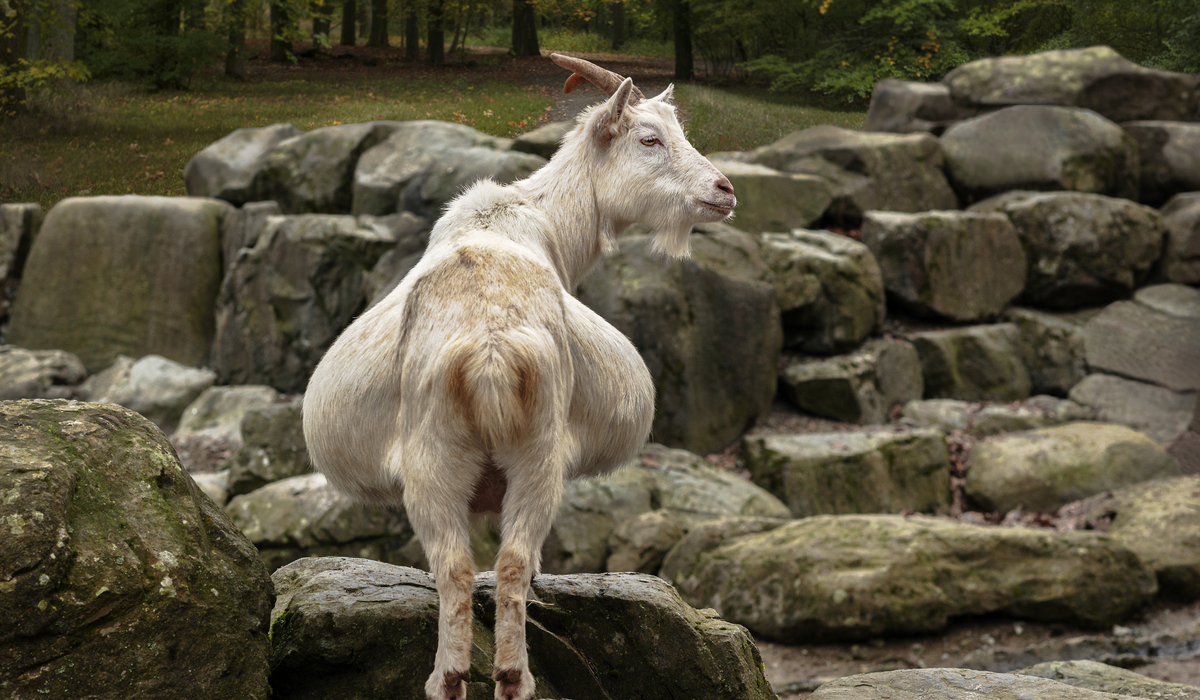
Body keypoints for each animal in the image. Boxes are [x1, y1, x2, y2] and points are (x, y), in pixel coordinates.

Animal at [302, 54, 736, 700]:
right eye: (649, 138)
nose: (724, 190)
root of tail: (490, 347)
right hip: (530, 450)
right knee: (500, 562)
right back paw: (506, 675)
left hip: (450, 457)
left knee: (465, 567)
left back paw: (472, 676)